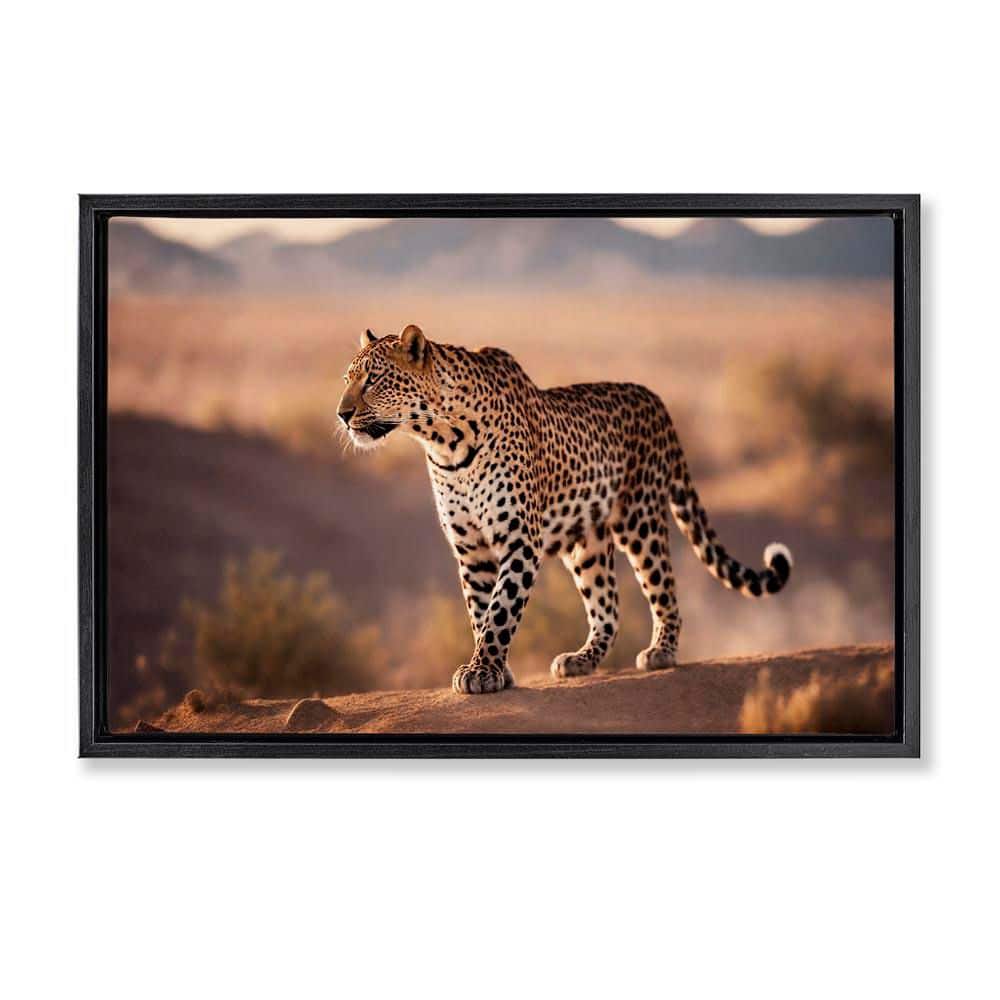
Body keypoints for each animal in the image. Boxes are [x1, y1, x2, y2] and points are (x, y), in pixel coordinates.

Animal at [338, 324, 793, 695]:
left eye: (373, 379)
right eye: (347, 380)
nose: (342, 414)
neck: (441, 440)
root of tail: (656, 400)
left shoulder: (519, 540)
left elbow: (501, 610)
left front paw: (483, 671)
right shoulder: (472, 550)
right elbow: (480, 610)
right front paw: (495, 671)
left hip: (640, 519)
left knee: (663, 587)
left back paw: (661, 652)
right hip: (587, 544)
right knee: (608, 607)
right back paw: (581, 659)